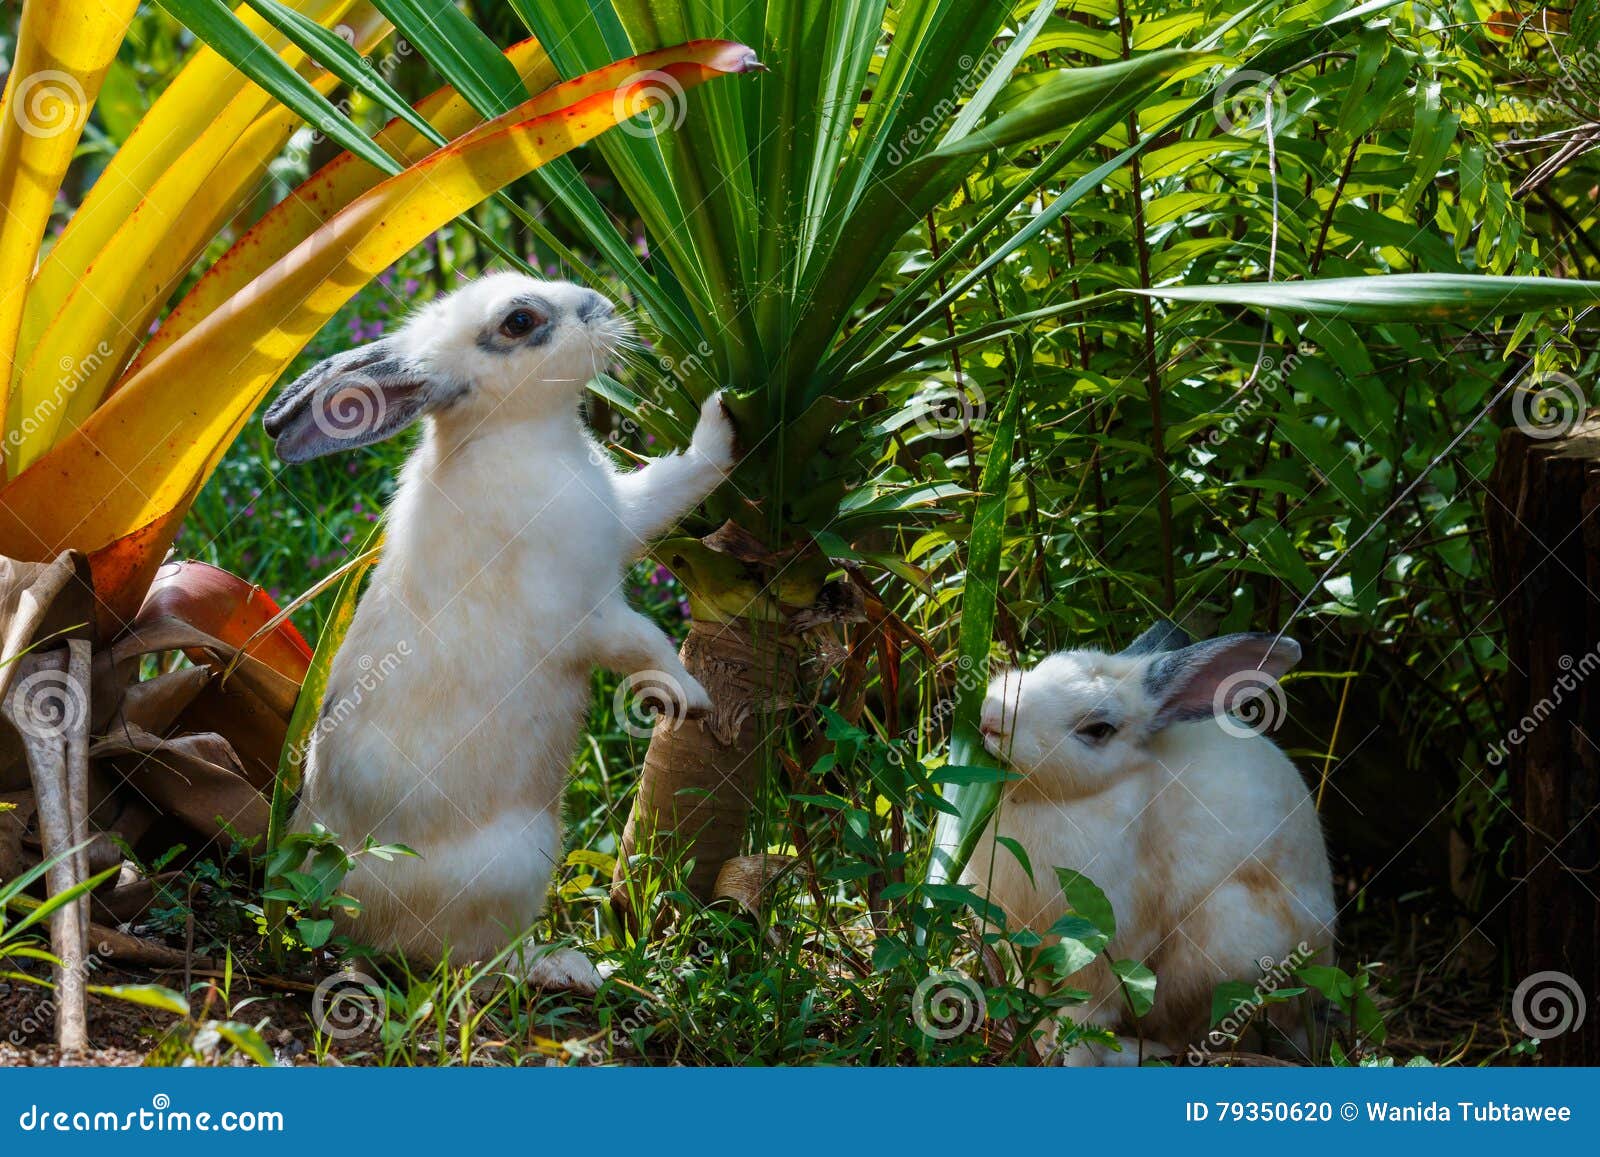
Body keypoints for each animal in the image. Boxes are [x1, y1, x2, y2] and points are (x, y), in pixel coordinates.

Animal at [262, 272, 737, 991]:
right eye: (519, 321)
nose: (603, 303)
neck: (509, 433)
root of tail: (342, 912)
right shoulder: (591, 611)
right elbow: (648, 642)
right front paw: (692, 699)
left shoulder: (623, 521)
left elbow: (672, 485)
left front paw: (724, 414)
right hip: (522, 858)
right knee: (472, 967)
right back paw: (569, 967)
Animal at [963, 622, 1336, 1064]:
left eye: (1098, 729)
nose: (991, 718)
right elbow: (1034, 992)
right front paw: (1034, 1041)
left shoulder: (1108, 950)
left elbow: (1084, 1020)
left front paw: (1069, 1056)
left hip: (1223, 955)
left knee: (1187, 1039)